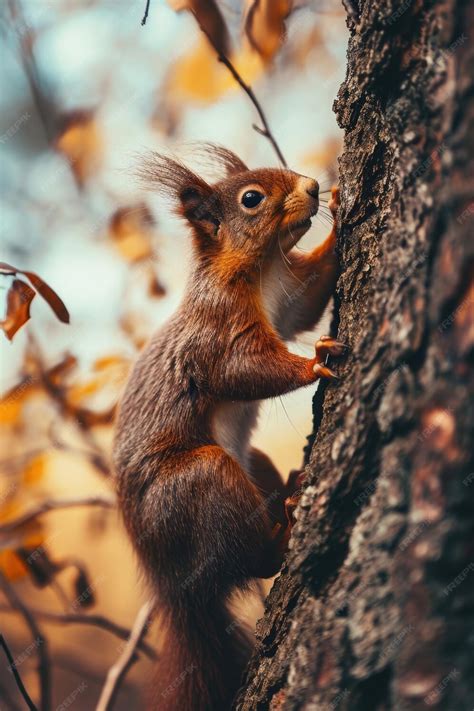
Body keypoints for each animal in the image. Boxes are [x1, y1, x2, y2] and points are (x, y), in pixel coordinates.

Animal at [113, 145, 344, 711]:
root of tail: (173, 590)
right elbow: (245, 369)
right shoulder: (216, 333)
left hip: (250, 461)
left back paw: (289, 490)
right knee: (248, 561)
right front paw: (315, 363)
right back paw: (283, 535)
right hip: (200, 482)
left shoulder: (289, 297)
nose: (312, 186)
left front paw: (342, 207)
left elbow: (309, 300)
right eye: (251, 199)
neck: (261, 270)